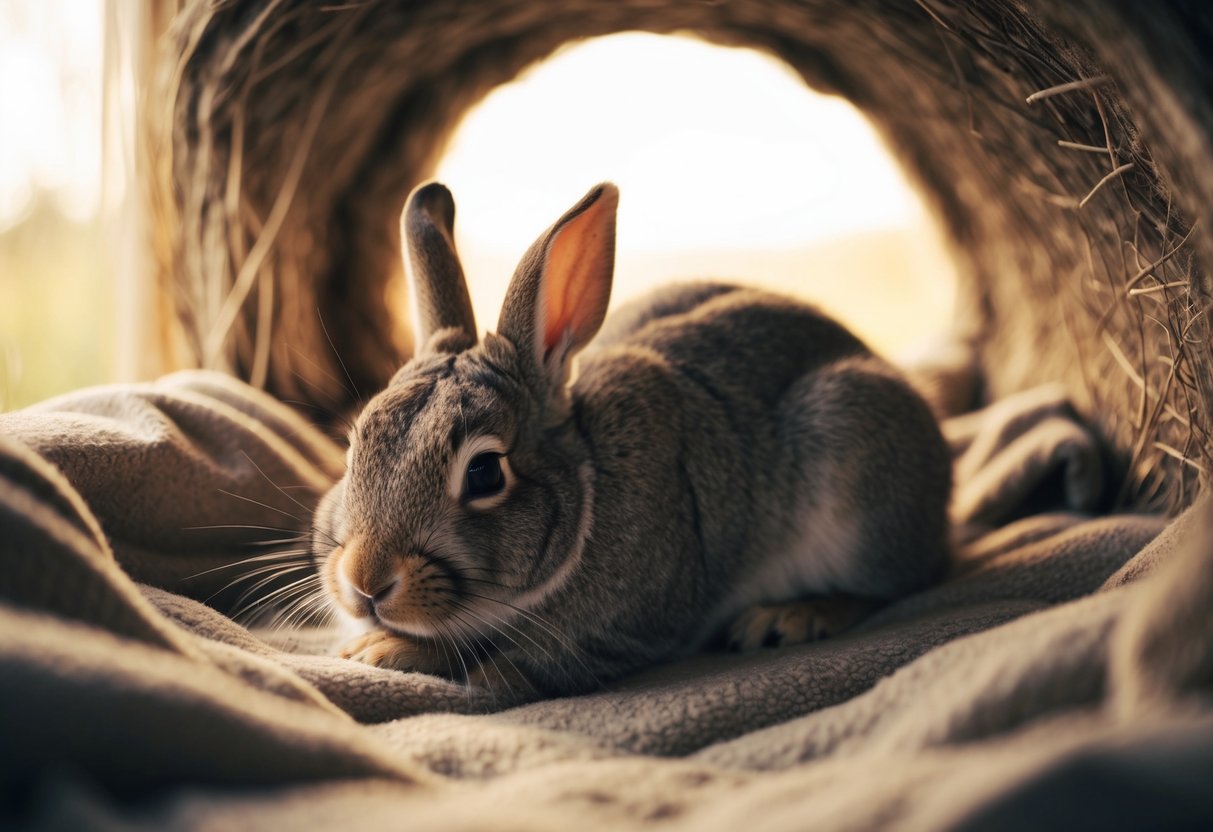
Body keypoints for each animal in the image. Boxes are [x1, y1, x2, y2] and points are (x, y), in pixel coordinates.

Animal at [309, 181, 951, 701]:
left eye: (486, 472)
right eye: (354, 447)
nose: (365, 581)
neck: (585, 492)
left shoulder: (625, 631)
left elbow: (516, 663)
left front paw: (393, 653)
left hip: (854, 453)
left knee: (899, 583)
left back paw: (790, 618)